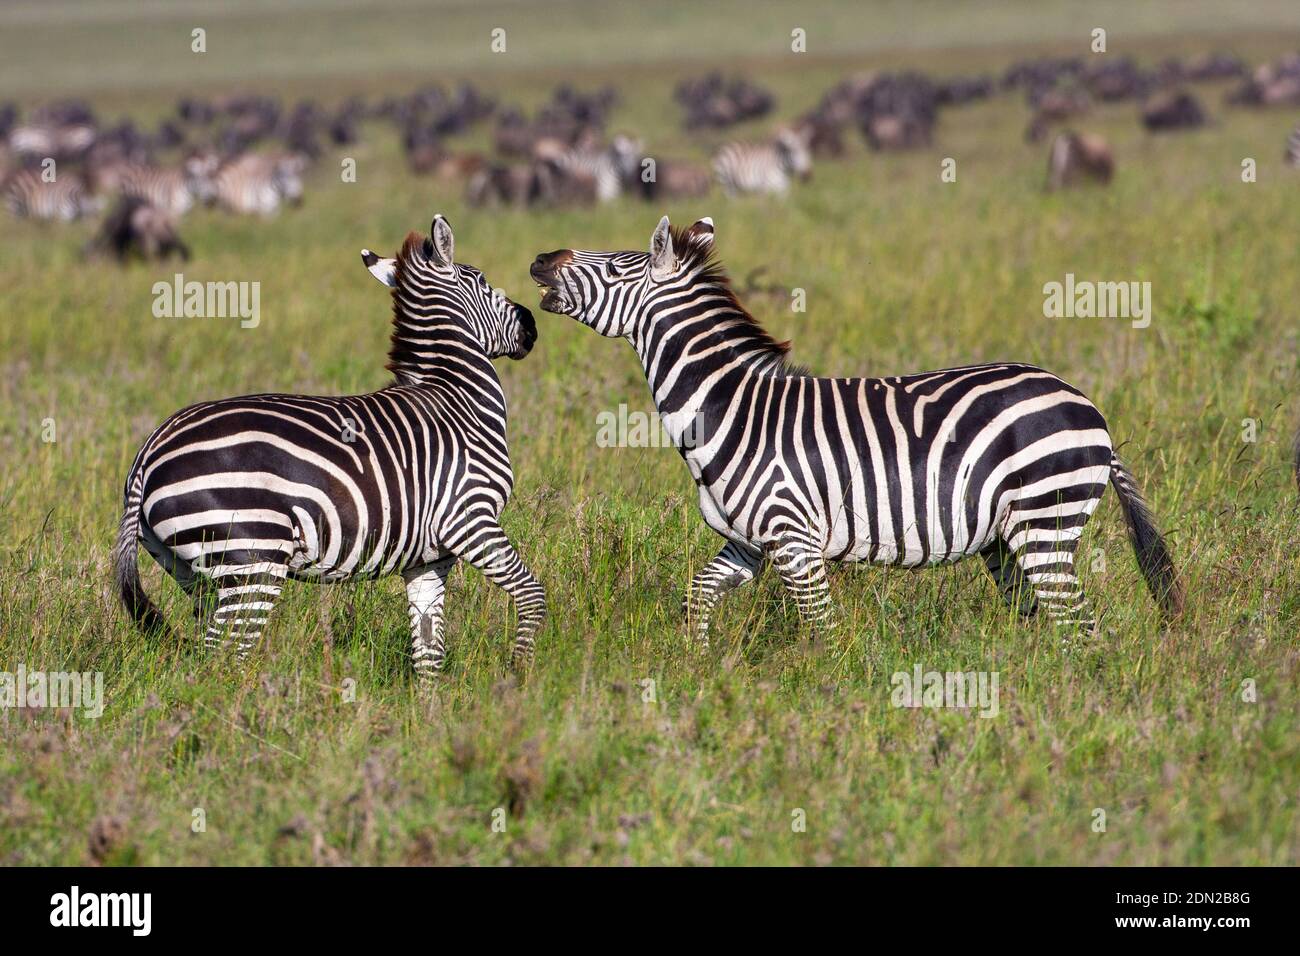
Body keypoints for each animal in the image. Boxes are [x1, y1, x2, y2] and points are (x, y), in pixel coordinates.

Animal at [114, 214, 546, 676]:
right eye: (482, 281)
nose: (532, 326)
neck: (457, 398)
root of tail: (149, 452)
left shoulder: (429, 559)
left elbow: (429, 653)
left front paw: (437, 697)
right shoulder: (467, 518)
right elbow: (532, 595)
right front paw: (520, 672)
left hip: (192, 571)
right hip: (252, 559)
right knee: (221, 659)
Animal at [530, 215, 1184, 642]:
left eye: (618, 265)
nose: (539, 258)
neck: (730, 407)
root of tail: (1089, 407)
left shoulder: (794, 539)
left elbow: (821, 633)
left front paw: (822, 702)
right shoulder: (749, 540)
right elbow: (698, 597)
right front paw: (697, 666)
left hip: (1045, 523)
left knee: (1080, 629)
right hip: (1006, 540)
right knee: (1045, 622)